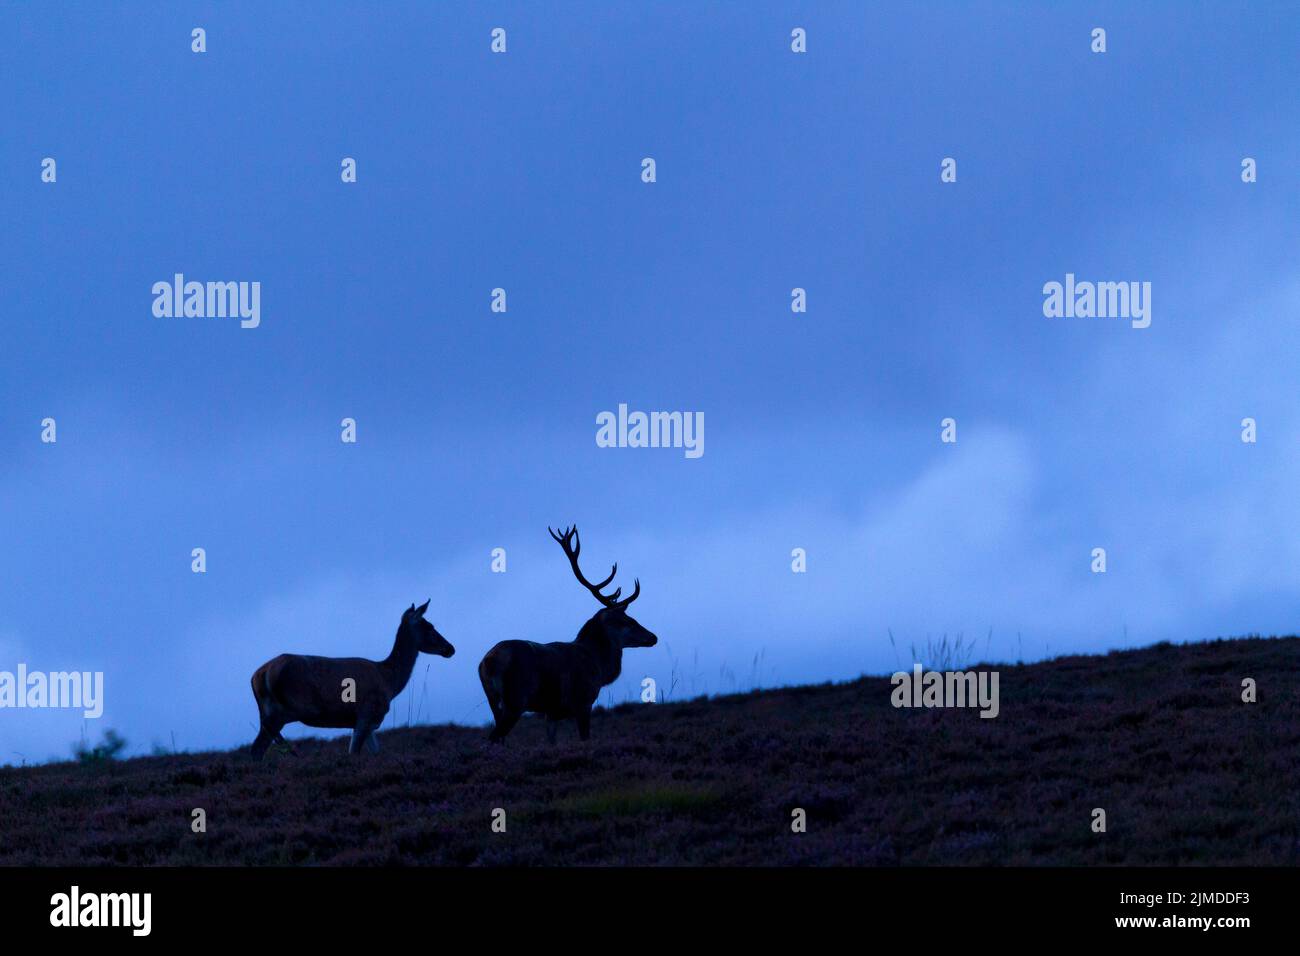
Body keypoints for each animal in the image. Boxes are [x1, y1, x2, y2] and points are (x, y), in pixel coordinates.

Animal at [248, 600, 454, 759]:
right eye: (429, 626)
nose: (450, 648)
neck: (388, 681)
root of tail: (258, 676)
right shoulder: (366, 712)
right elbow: (354, 752)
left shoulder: (368, 723)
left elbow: (375, 752)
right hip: (292, 707)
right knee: (263, 739)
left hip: (270, 709)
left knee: (258, 747)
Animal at [478, 526, 657, 744]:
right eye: (628, 620)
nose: (653, 637)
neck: (599, 666)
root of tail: (487, 662)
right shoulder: (583, 701)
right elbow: (584, 737)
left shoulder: (551, 712)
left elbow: (552, 742)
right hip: (516, 699)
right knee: (493, 736)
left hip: (493, 701)